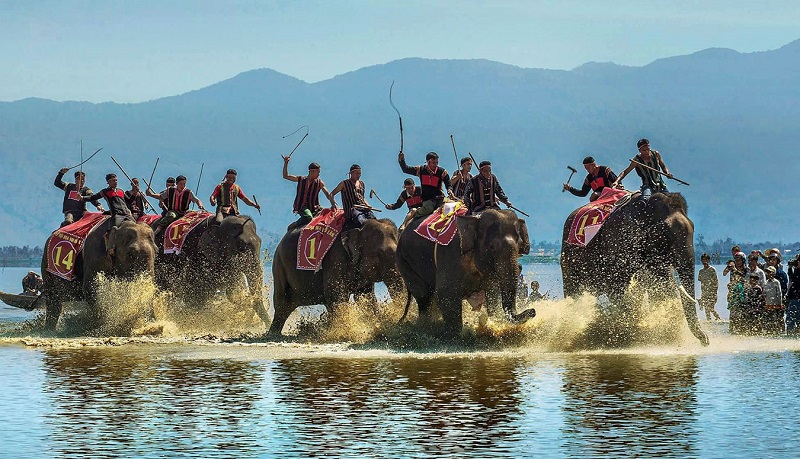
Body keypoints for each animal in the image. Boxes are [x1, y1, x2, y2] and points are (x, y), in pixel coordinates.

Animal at [269, 218, 405, 336]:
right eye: (380, 254)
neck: (359, 227)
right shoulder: (335, 259)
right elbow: (336, 295)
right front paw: (344, 330)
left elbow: (365, 296)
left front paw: (376, 323)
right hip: (279, 265)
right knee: (281, 302)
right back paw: (273, 334)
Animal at [396, 208, 536, 338]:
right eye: (492, 247)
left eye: (519, 246)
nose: (533, 311)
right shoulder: (450, 255)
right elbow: (446, 293)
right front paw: (457, 336)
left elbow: (493, 293)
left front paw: (492, 325)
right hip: (404, 261)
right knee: (424, 296)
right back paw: (425, 328)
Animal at [560, 192, 709, 346]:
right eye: (662, 233)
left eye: (693, 228)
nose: (706, 341)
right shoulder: (618, 241)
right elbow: (618, 286)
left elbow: (661, 285)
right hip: (568, 258)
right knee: (574, 290)